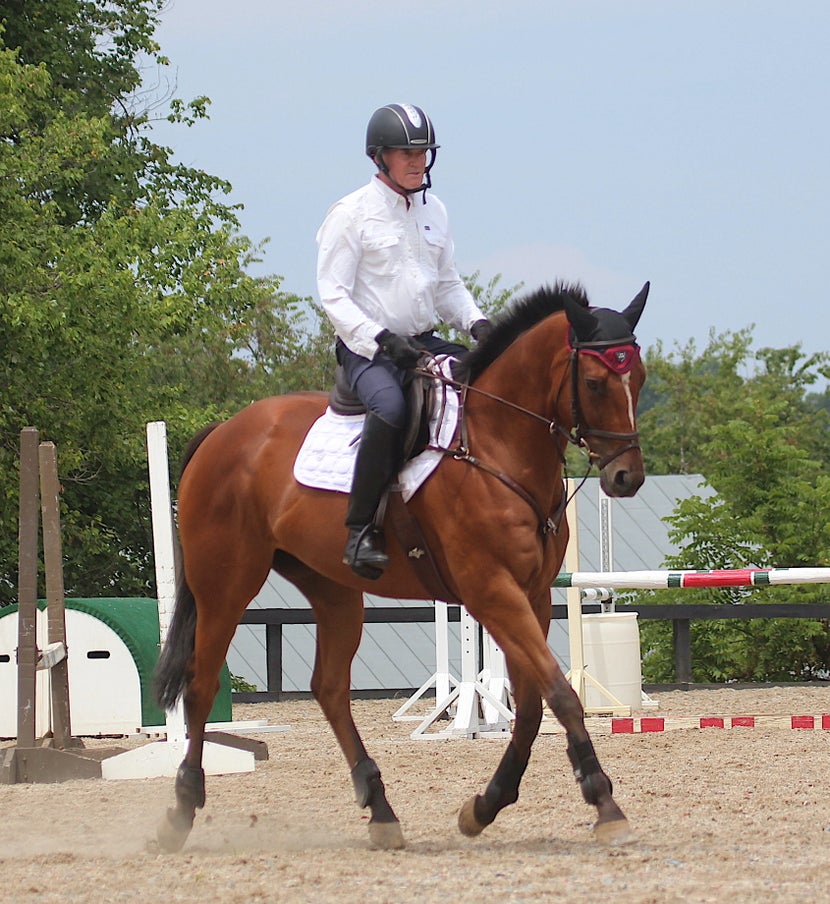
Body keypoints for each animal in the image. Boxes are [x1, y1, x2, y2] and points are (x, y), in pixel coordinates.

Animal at [154, 278, 648, 852]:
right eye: (593, 383)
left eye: (639, 378)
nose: (626, 477)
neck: (495, 443)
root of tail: (222, 432)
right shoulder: (492, 590)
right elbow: (562, 695)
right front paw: (604, 802)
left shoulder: (534, 595)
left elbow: (530, 707)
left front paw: (484, 805)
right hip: (226, 586)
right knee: (202, 685)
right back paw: (181, 810)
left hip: (332, 588)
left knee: (329, 688)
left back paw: (381, 810)